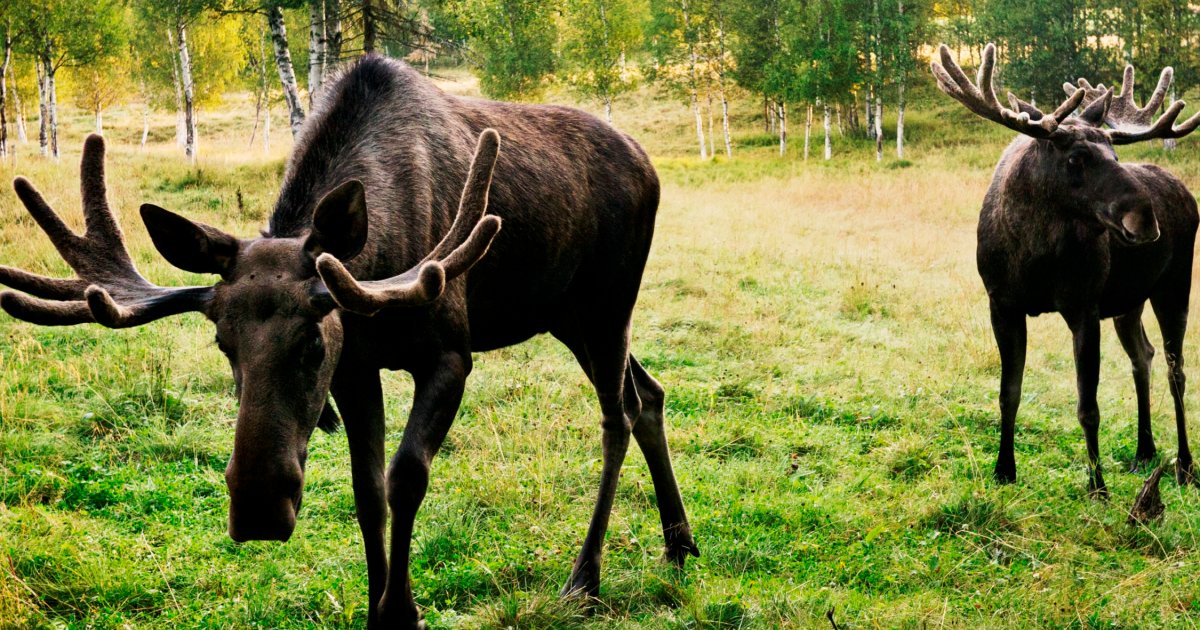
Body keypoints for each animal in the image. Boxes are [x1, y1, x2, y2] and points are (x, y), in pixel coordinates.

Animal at [0, 56, 698, 628]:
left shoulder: (449, 353)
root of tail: (649, 164)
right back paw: (679, 541)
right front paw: (374, 607)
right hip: (566, 313)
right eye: (223, 346)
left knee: (617, 414)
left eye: (313, 342)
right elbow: (367, 492)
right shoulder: (358, 368)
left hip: (608, 304)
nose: (257, 508)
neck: (381, 262)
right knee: (650, 394)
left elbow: (405, 476)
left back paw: (586, 577)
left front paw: (401, 611)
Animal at [931, 43, 1200, 498]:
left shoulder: (1084, 307)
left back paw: (1183, 464)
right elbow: (1008, 392)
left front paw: (1097, 485)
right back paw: (1144, 451)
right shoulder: (1002, 303)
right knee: (1142, 355)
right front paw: (1003, 470)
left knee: (1175, 369)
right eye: (1077, 157)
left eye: (1115, 153)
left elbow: (1088, 406)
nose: (1145, 220)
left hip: (1175, 282)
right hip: (1127, 299)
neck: (1034, 255)